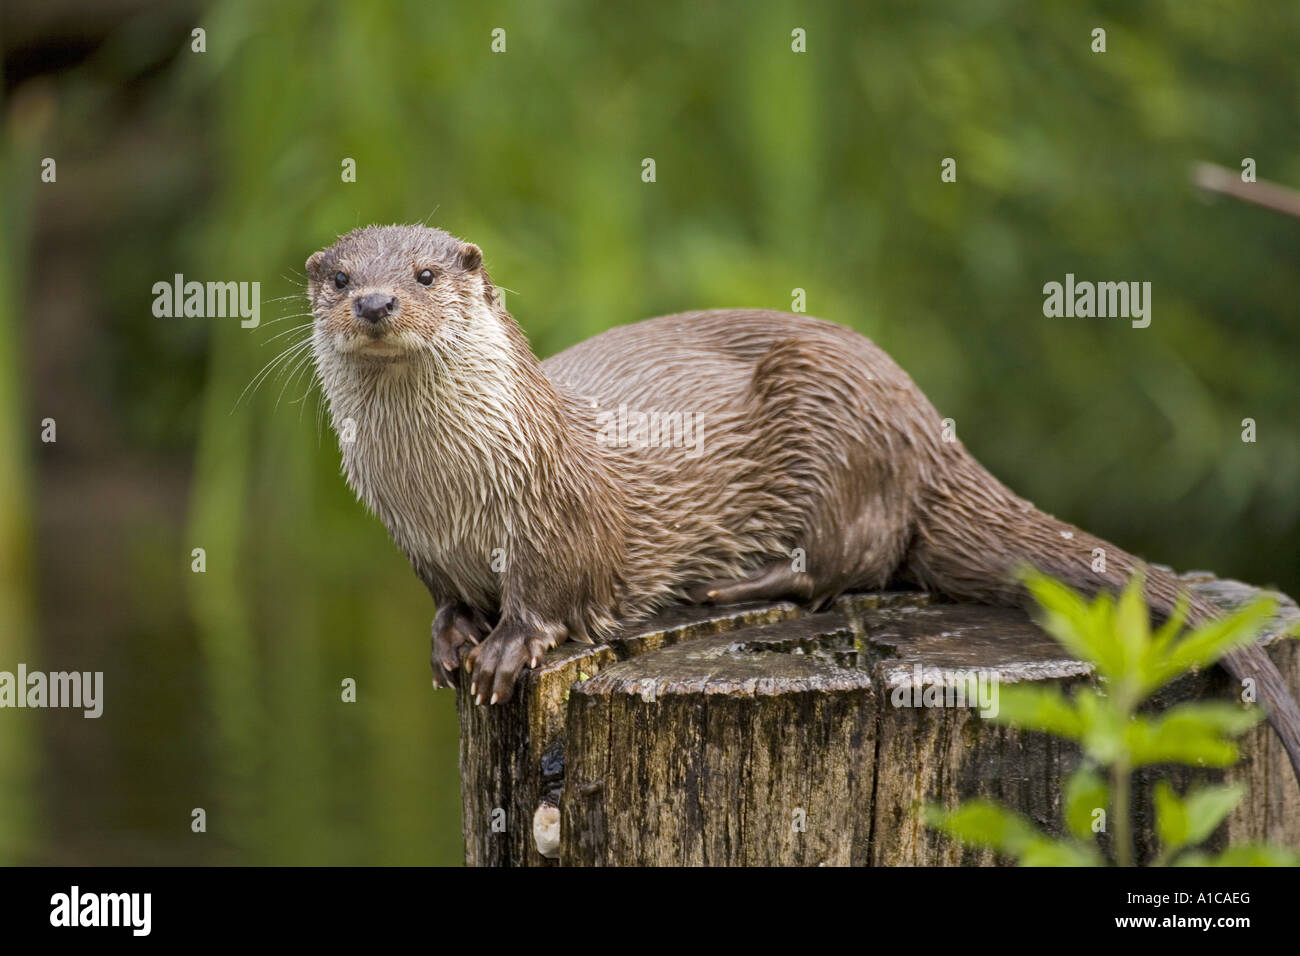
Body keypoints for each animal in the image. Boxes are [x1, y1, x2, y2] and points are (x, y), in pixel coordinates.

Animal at [307, 223, 1300, 782]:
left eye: (427, 275)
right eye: (340, 277)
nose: (377, 302)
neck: (447, 490)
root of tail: (922, 421)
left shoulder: (561, 518)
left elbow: (553, 596)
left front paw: (508, 646)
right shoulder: (415, 541)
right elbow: (445, 598)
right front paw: (452, 638)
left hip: (837, 430)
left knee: (848, 563)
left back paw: (734, 586)